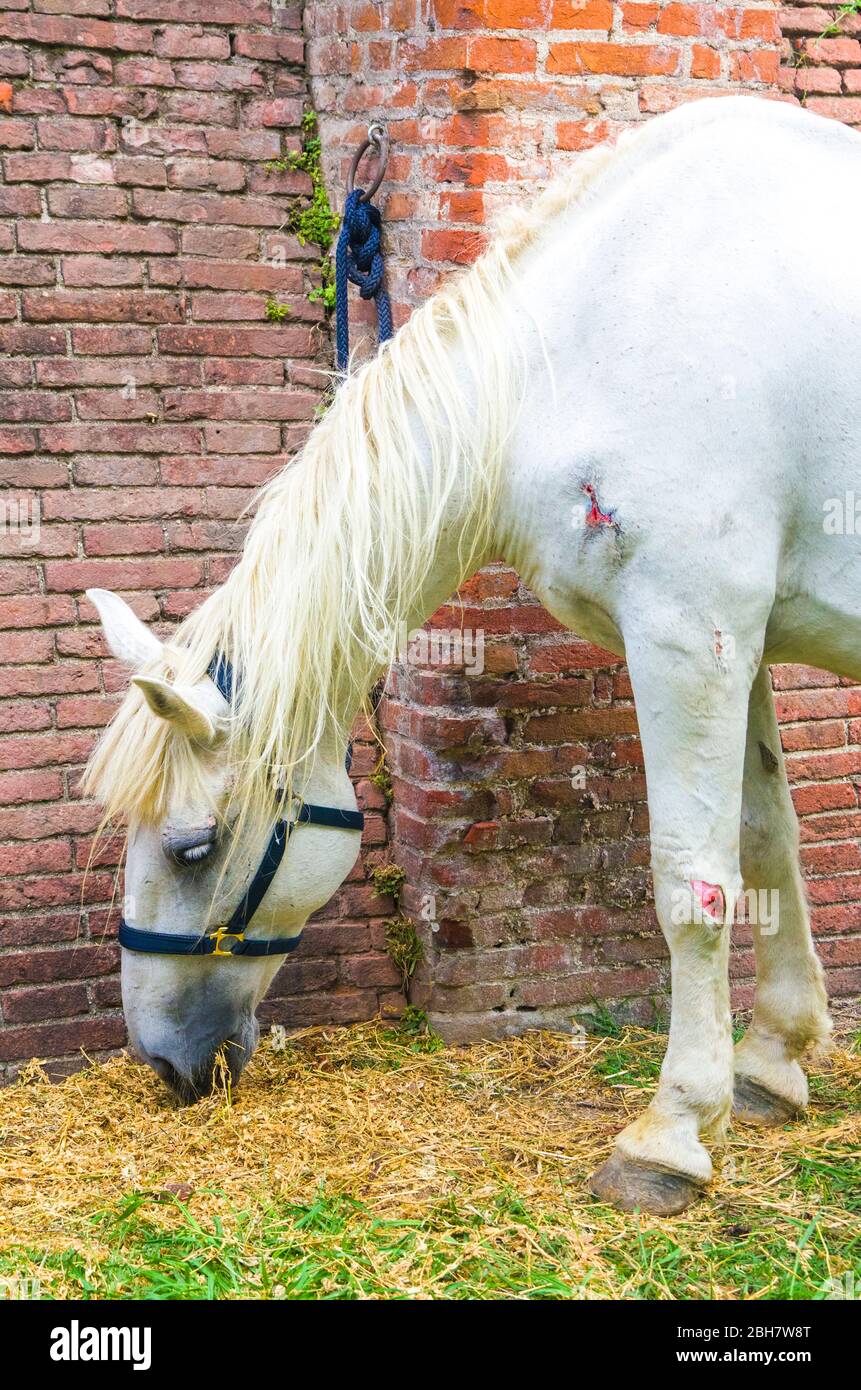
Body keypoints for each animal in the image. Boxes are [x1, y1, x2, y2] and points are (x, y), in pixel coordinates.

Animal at [83, 95, 861, 1215]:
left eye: (193, 847)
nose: (163, 1061)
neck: (575, 351)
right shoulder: (736, 639)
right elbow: (765, 846)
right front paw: (771, 1063)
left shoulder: (686, 629)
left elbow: (693, 886)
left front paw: (672, 1133)